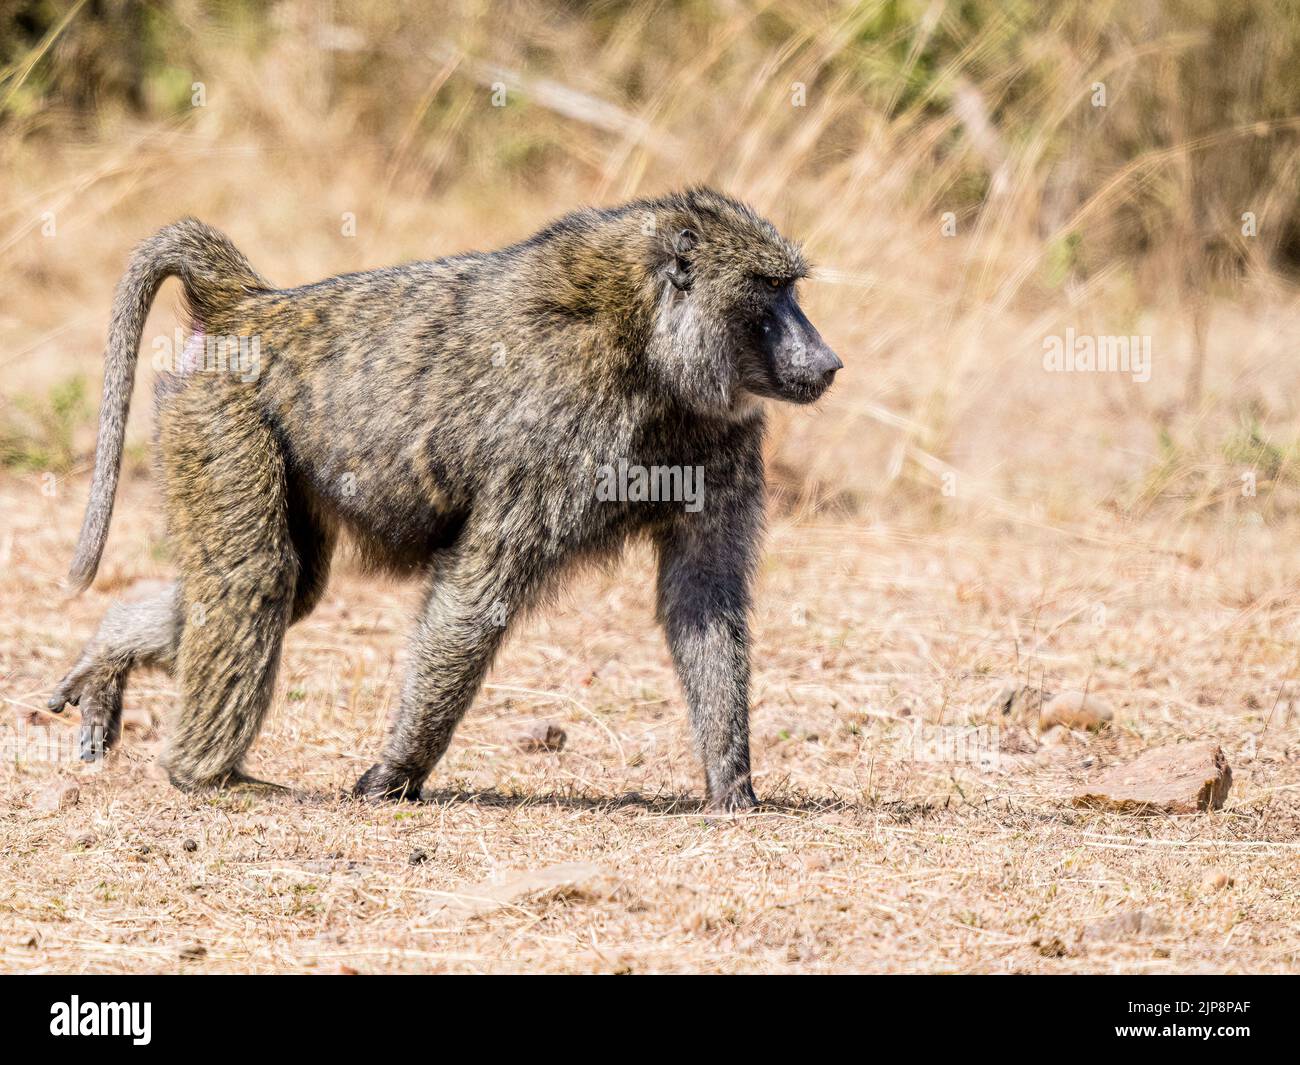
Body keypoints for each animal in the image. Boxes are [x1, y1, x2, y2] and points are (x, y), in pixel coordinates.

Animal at [49, 187, 841, 811]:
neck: (646, 340)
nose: (828, 361)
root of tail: (251, 306)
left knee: (289, 586)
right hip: (218, 416)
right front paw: (395, 773)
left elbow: (702, 596)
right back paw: (206, 774)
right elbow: (477, 596)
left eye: (789, 288)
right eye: (769, 290)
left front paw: (731, 781)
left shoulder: (724, 433)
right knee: (258, 579)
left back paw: (110, 654)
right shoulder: (553, 436)